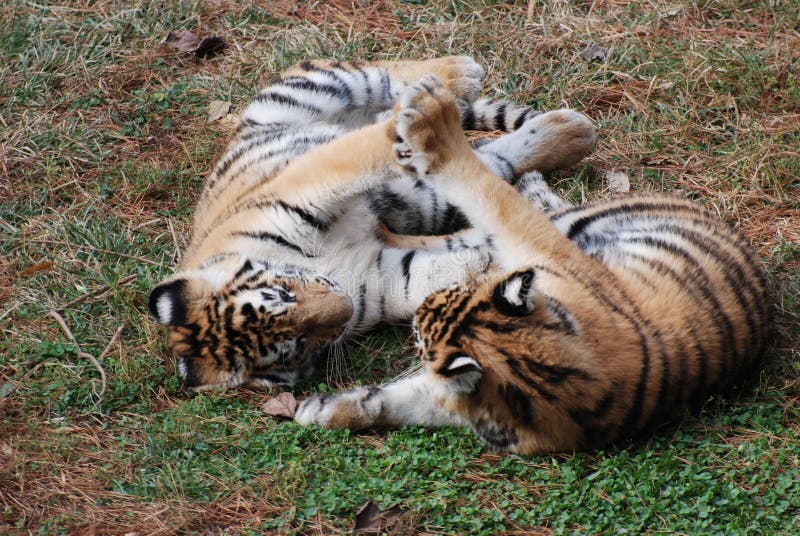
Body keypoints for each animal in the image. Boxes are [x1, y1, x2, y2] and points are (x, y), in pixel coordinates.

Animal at [147, 57, 597, 389]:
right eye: (298, 345)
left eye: (282, 295)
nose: (343, 308)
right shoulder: (379, 279)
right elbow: (426, 275)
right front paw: (485, 263)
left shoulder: (306, 182)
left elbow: (359, 153)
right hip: (419, 198)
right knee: (482, 163)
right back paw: (568, 133)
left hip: (306, 95)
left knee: (381, 81)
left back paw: (456, 79)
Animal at [294, 75, 770, 454]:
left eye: (426, 333)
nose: (421, 310)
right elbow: (399, 401)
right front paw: (324, 411)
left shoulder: (545, 251)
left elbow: (485, 190)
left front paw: (433, 123)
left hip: (560, 226)